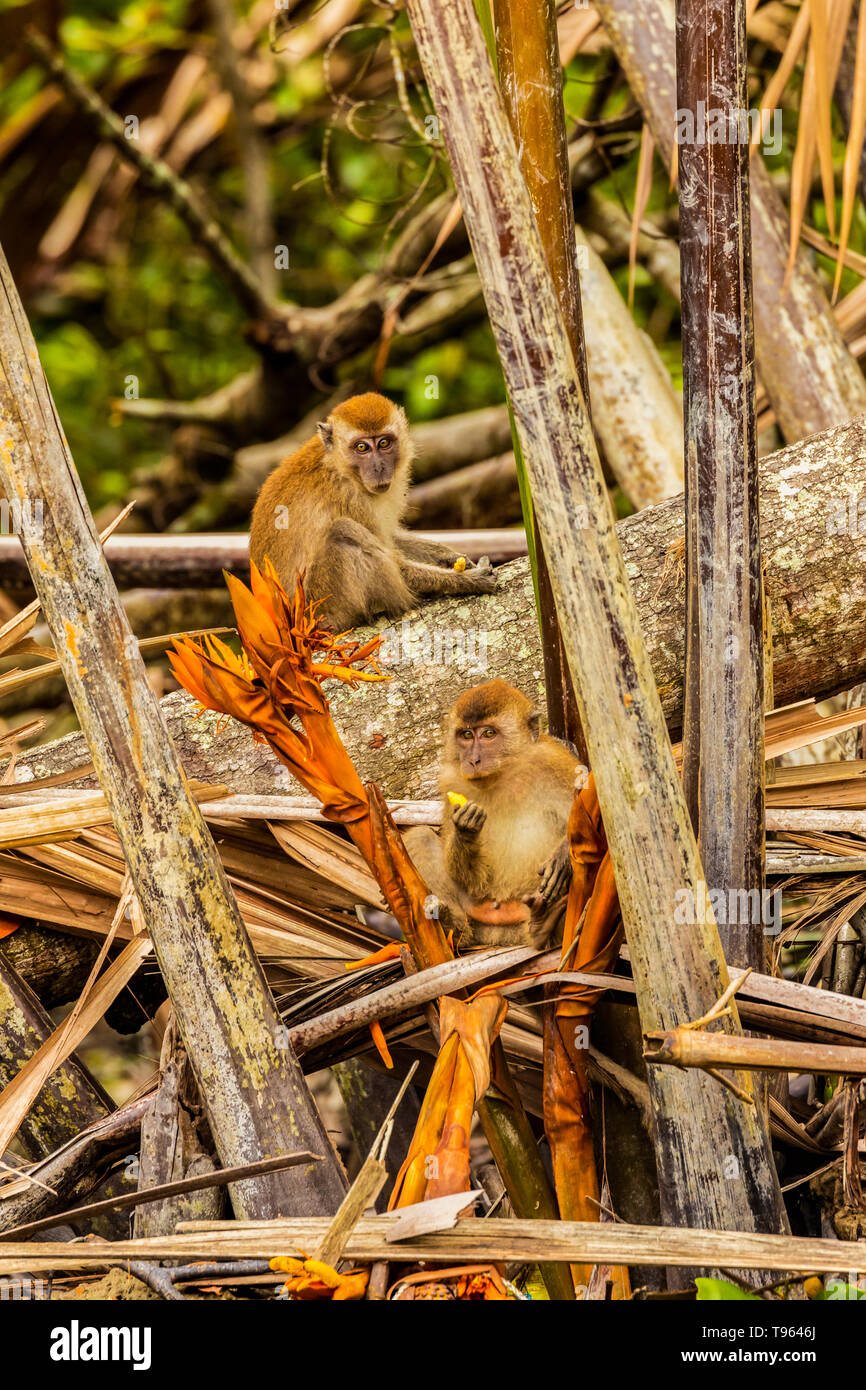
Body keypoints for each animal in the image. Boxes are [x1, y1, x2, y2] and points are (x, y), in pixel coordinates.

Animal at [249, 393, 497, 630]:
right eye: (362, 447)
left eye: (384, 443)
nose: (378, 468)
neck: (340, 466)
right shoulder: (349, 497)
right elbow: (398, 564)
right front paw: (468, 581)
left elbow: (390, 538)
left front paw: (449, 555)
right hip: (319, 607)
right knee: (343, 531)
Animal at [404, 680, 579, 950]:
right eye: (467, 735)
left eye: (489, 734)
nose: (473, 760)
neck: (506, 770)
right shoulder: (452, 779)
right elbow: (463, 874)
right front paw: (465, 830)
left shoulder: (555, 762)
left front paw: (562, 856)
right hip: (479, 913)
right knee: (420, 837)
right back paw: (452, 926)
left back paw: (543, 927)